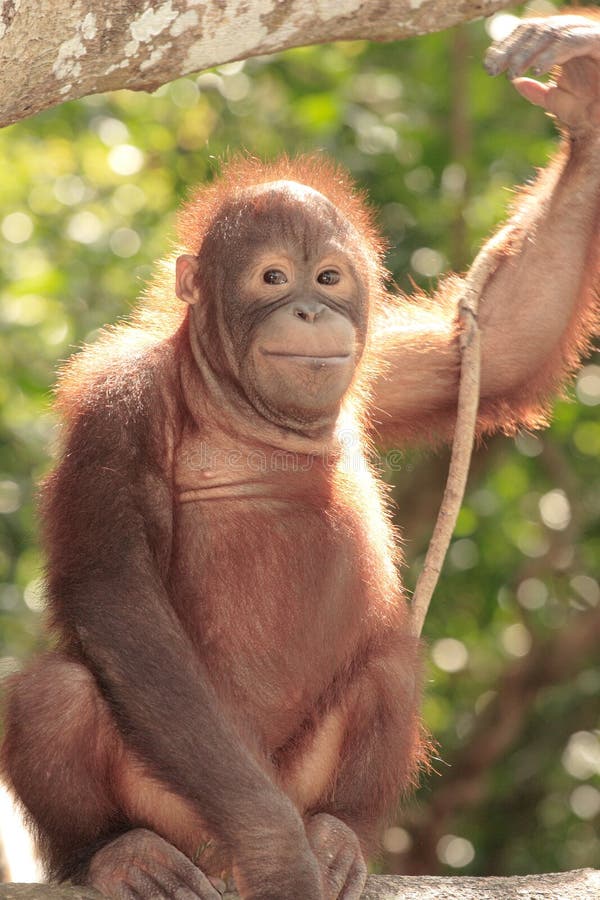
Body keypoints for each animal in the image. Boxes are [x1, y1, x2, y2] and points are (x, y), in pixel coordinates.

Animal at [2, 13, 599, 900]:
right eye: (272, 277)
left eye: (328, 275)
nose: (313, 310)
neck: (239, 404)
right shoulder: (117, 402)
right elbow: (117, 593)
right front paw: (276, 849)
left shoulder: (378, 366)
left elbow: (491, 350)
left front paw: (581, 86)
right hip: (177, 799)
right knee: (58, 689)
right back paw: (119, 852)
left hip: (302, 772)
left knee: (391, 663)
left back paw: (336, 831)